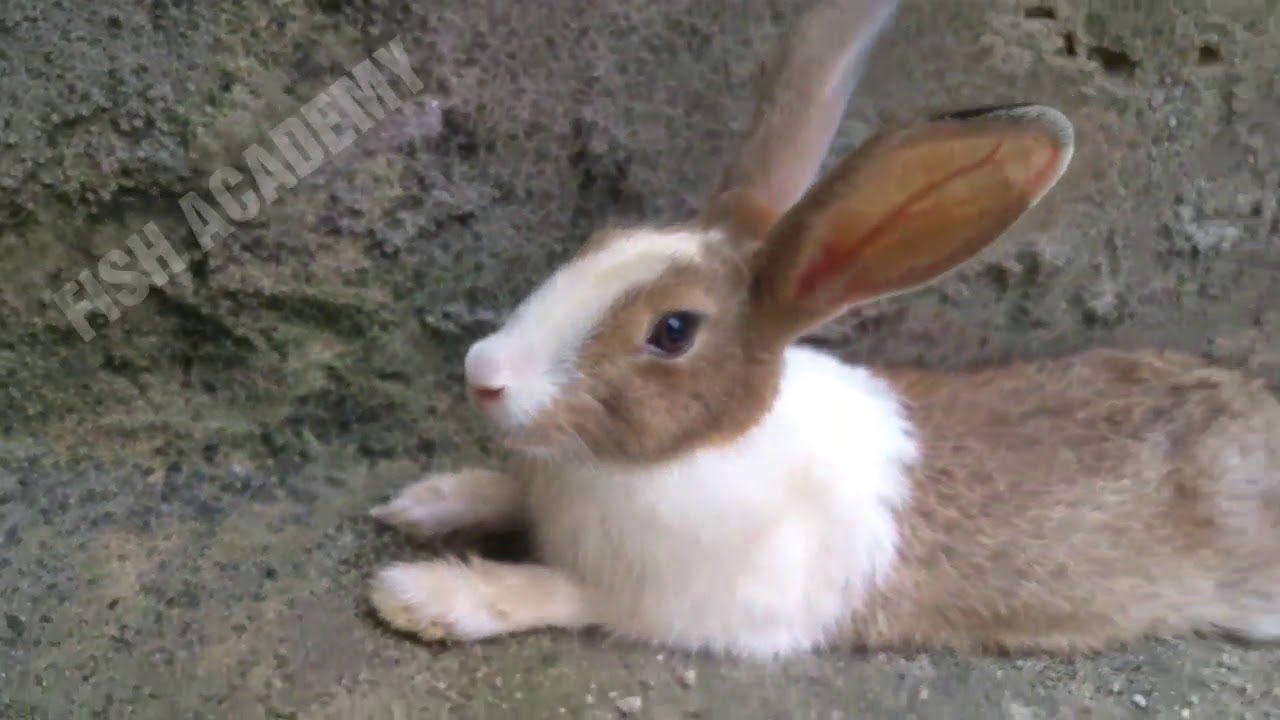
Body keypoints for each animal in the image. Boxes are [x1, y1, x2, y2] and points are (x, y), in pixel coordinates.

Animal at [365, 0, 1280, 659]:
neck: (674, 457)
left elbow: (557, 592)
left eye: (673, 330)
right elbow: (506, 488)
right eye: (600, 241)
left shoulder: (673, 601)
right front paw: (425, 501)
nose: (484, 373)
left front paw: (422, 594)